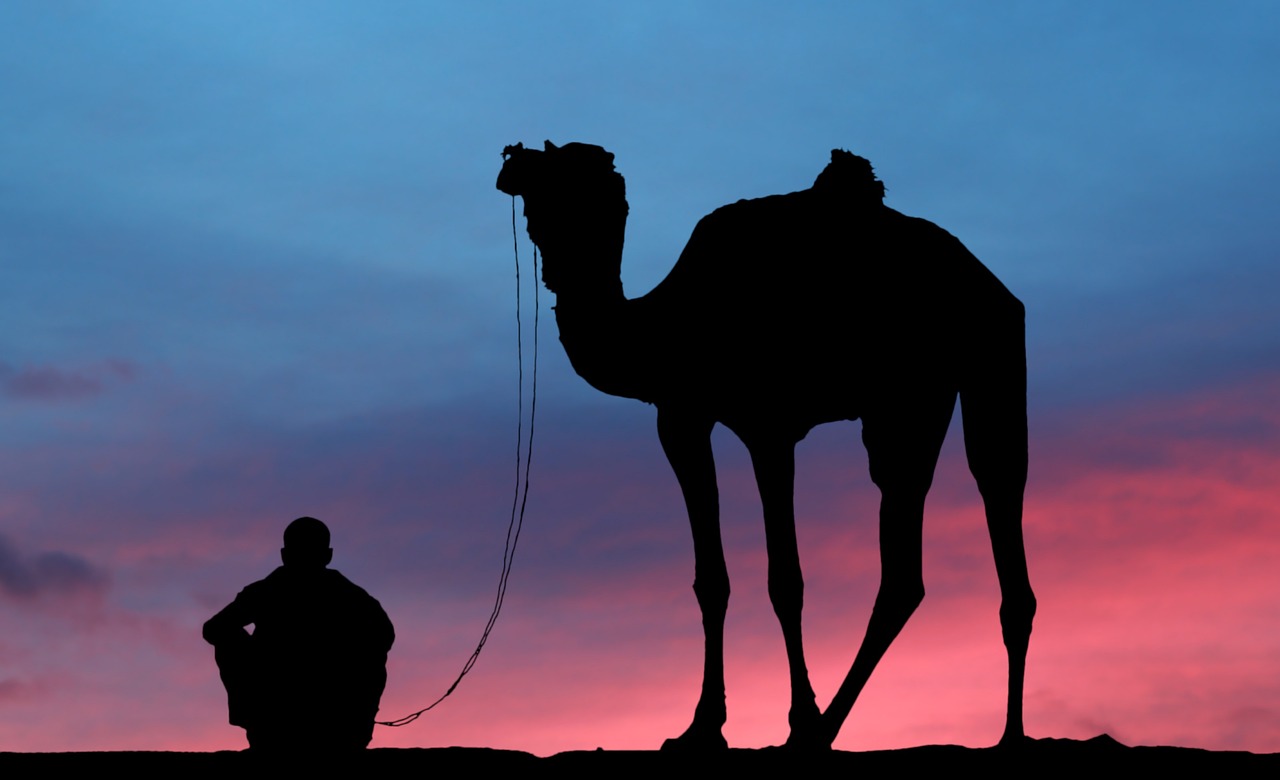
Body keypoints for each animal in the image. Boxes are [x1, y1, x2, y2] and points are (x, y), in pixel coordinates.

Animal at [496, 141, 1035, 751]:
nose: (510, 171)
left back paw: (822, 730)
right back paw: (1008, 734)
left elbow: (786, 579)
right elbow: (712, 578)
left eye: (574, 181)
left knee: (939, 525)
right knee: (974, 506)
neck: (663, 326)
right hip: (956, 383)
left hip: (929, 385)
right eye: (539, 186)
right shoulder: (682, 418)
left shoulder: (769, 428)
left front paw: (796, 716)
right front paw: (702, 727)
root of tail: (990, 286)